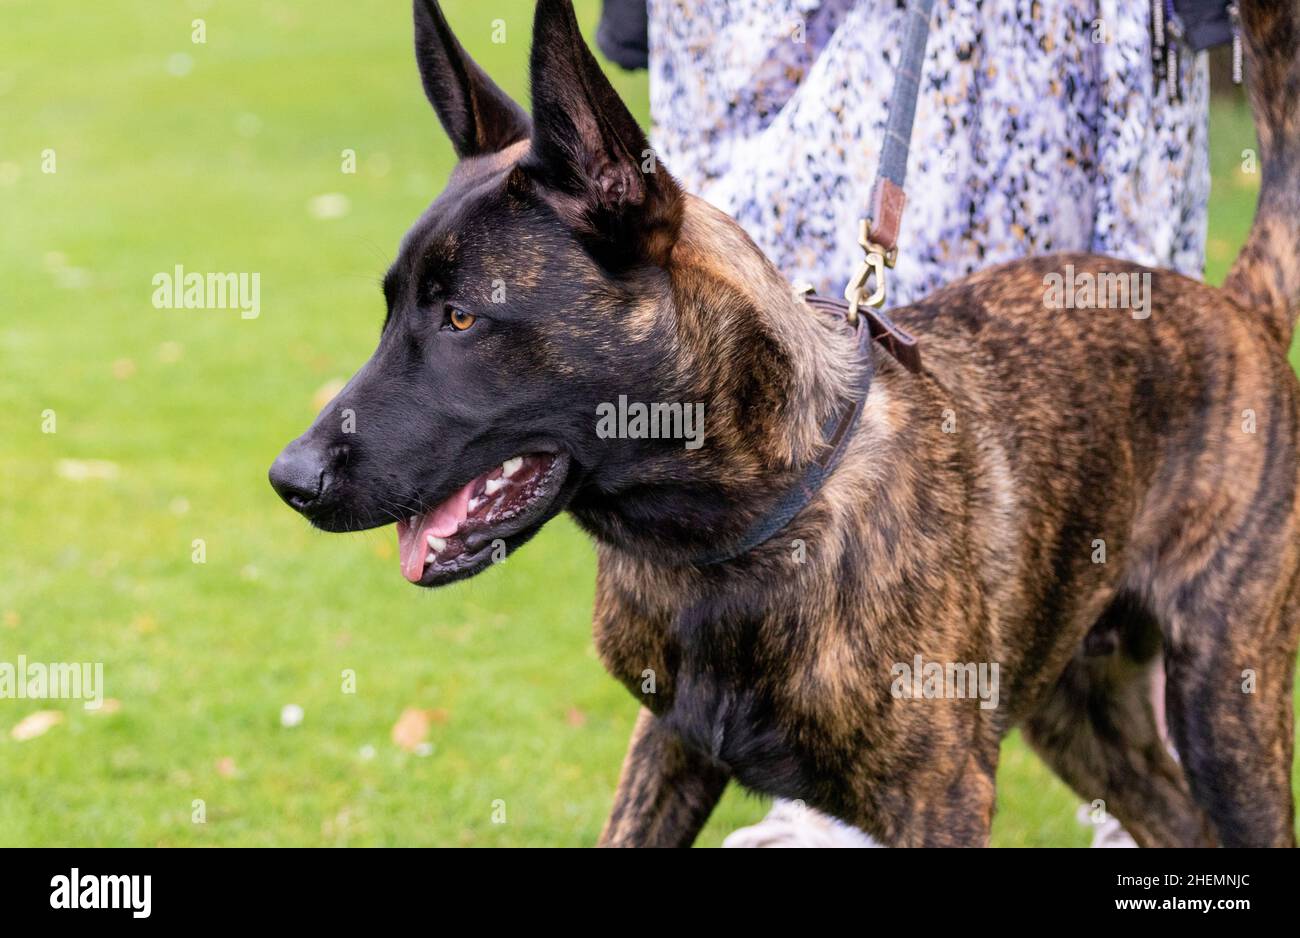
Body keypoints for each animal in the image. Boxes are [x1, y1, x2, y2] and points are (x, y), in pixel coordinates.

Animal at [269, 0, 1300, 841]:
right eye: (393, 308)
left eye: (460, 319)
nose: (290, 479)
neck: (740, 534)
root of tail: (1235, 307)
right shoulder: (669, 751)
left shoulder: (941, 800)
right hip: (1082, 712)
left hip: (1226, 707)